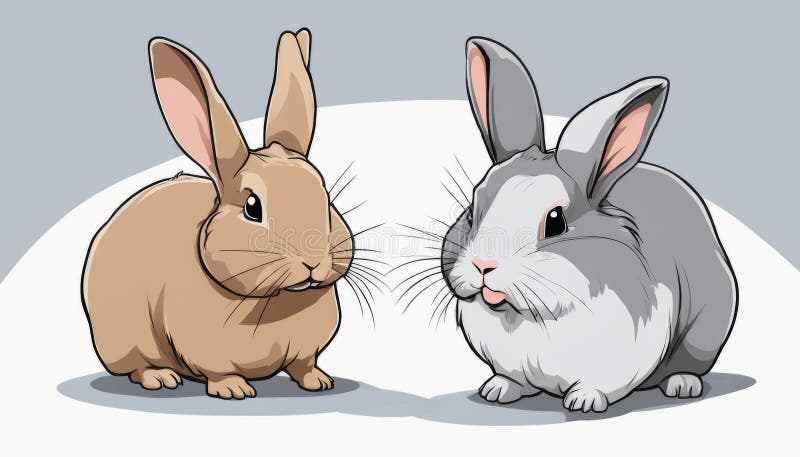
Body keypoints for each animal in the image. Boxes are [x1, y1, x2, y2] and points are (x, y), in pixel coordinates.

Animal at [81, 29, 355, 399]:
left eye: (325, 198)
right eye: (252, 207)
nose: (313, 261)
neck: (278, 300)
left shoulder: (306, 351)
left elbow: (304, 365)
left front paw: (319, 382)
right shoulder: (202, 348)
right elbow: (219, 371)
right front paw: (234, 389)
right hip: (124, 339)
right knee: (136, 366)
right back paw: (161, 377)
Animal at [441, 37, 738, 412]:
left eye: (556, 221)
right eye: (472, 209)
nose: (483, 265)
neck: (536, 313)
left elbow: (602, 383)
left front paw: (584, 401)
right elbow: (511, 378)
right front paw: (497, 390)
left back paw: (682, 384)